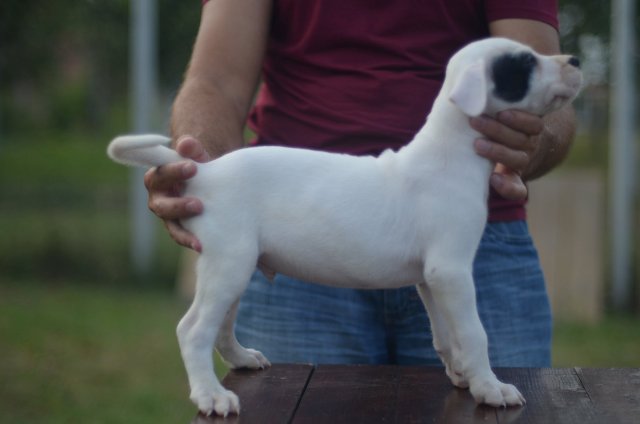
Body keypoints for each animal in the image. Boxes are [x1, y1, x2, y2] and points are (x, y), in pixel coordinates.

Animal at [109, 38, 580, 416]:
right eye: (525, 62)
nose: (575, 59)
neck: (451, 153)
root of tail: (204, 173)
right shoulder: (452, 270)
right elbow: (475, 332)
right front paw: (491, 388)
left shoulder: (432, 279)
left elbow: (447, 334)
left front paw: (463, 374)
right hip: (229, 263)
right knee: (193, 330)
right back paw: (211, 396)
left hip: (233, 266)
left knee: (220, 325)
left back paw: (240, 358)